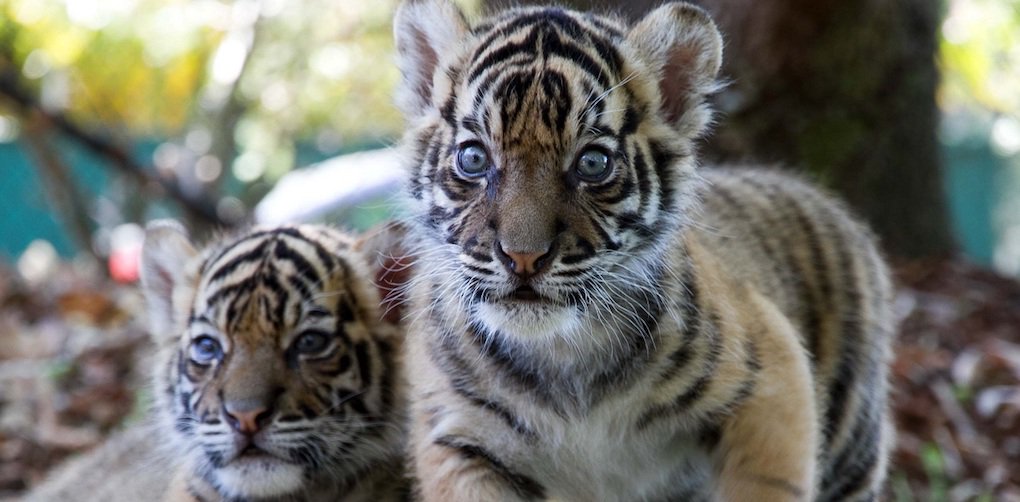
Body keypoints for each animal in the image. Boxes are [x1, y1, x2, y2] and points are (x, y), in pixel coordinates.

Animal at [392, 1, 894, 501]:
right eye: (474, 158)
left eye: (593, 163)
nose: (523, 258)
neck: (560, 357)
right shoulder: (459, 440)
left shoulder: (771, 383)